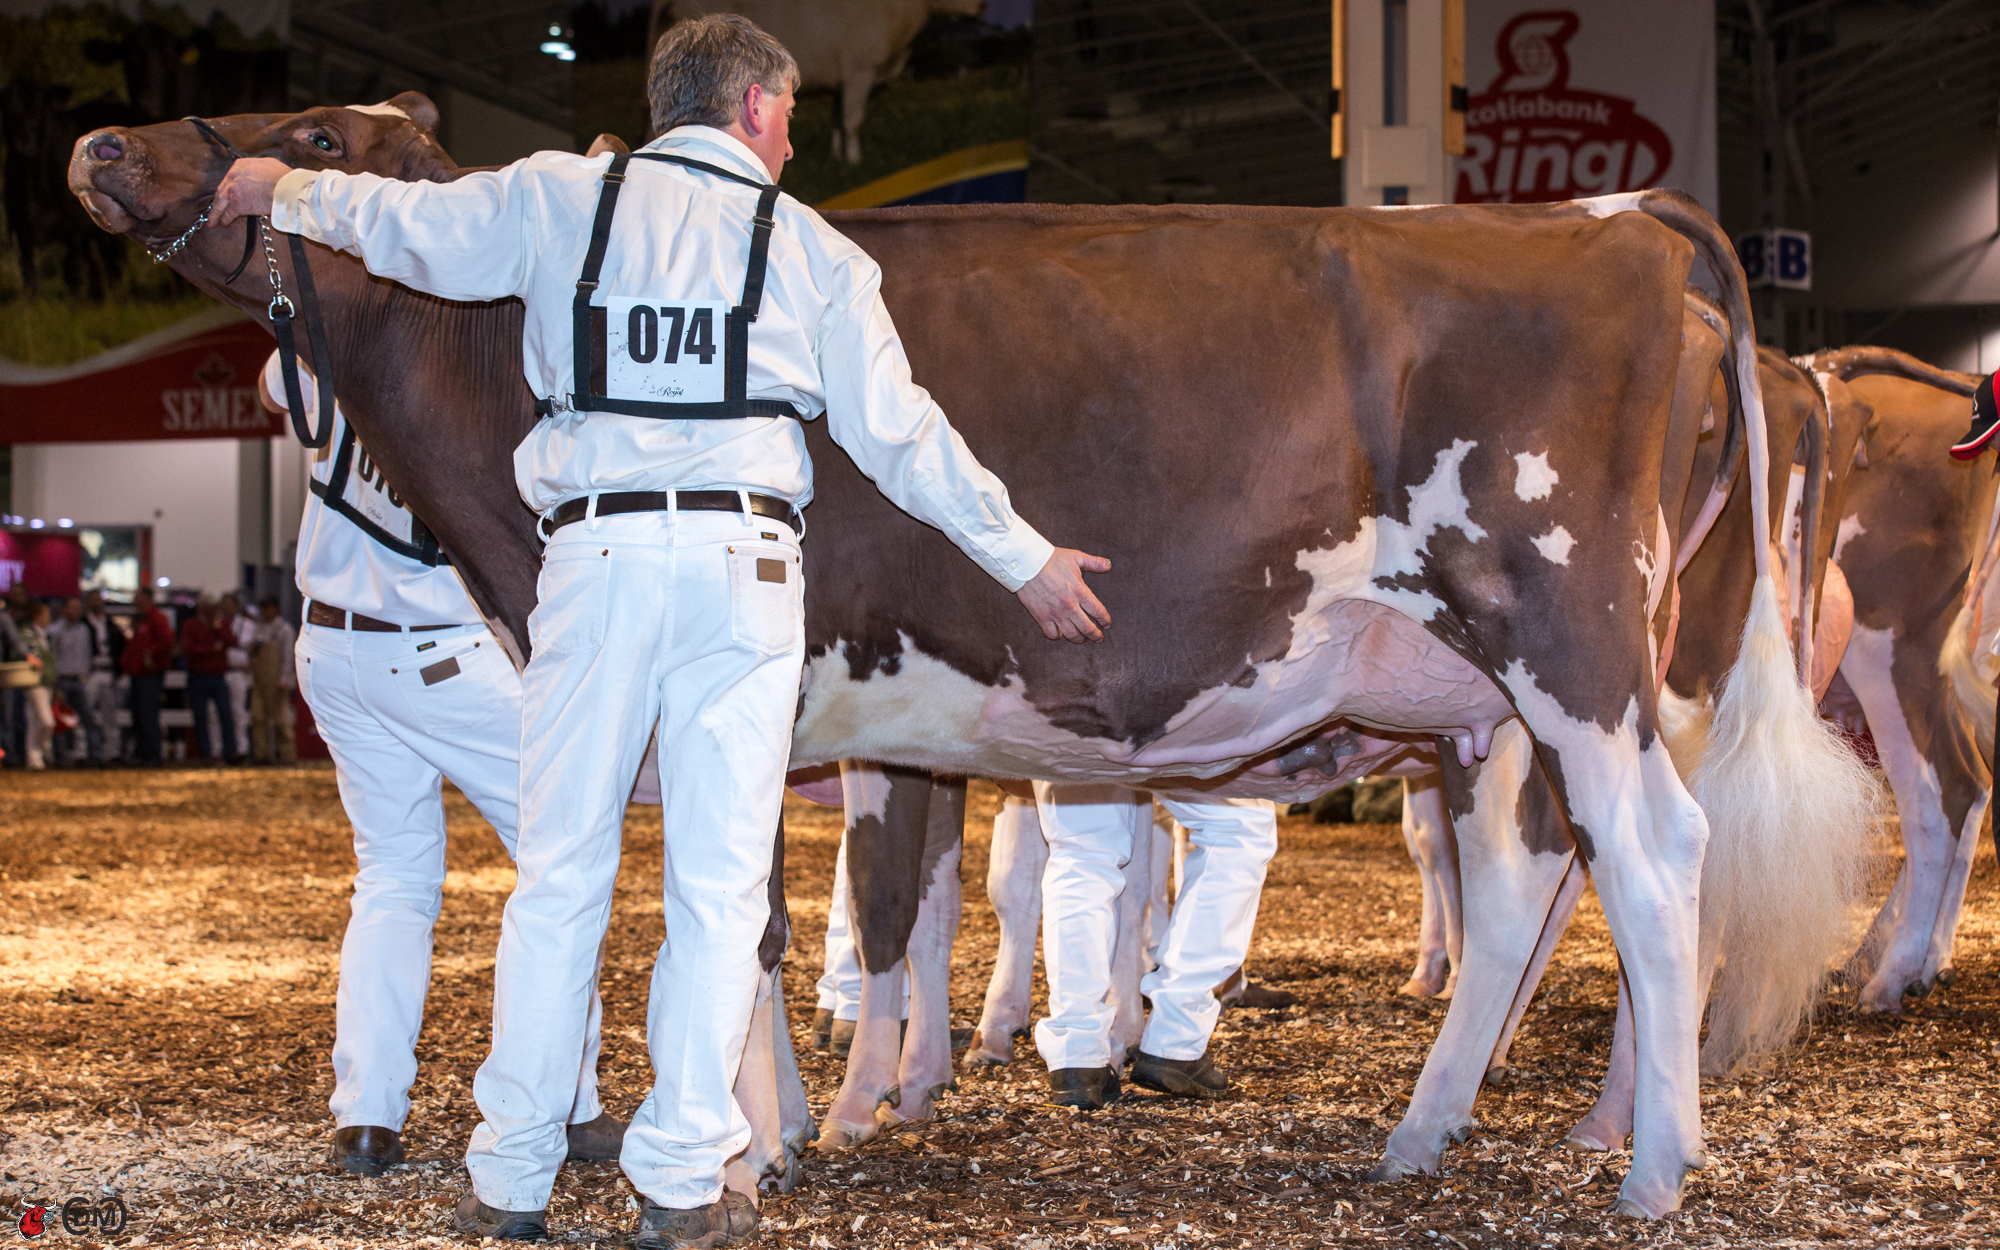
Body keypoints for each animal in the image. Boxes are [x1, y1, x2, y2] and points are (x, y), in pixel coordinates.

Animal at [71, 99, 1867, 1219]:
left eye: (315, 139)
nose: (103, 145)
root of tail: (1614, 222)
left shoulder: (763, 682)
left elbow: (782, 916)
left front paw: (746, 1153)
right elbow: (839, 915)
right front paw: (799, 1130)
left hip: (1580, 643)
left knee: (1660, 865)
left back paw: (1650, 1166)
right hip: (1486, 708)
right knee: (1520, 892)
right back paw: (1434, 1134)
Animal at [647, 0, 988, 162]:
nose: (984, 6)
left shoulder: (843, 79)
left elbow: (838, 119)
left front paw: (837, 156)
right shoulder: (859, 69)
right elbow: (852, 121)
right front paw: (854, 161)